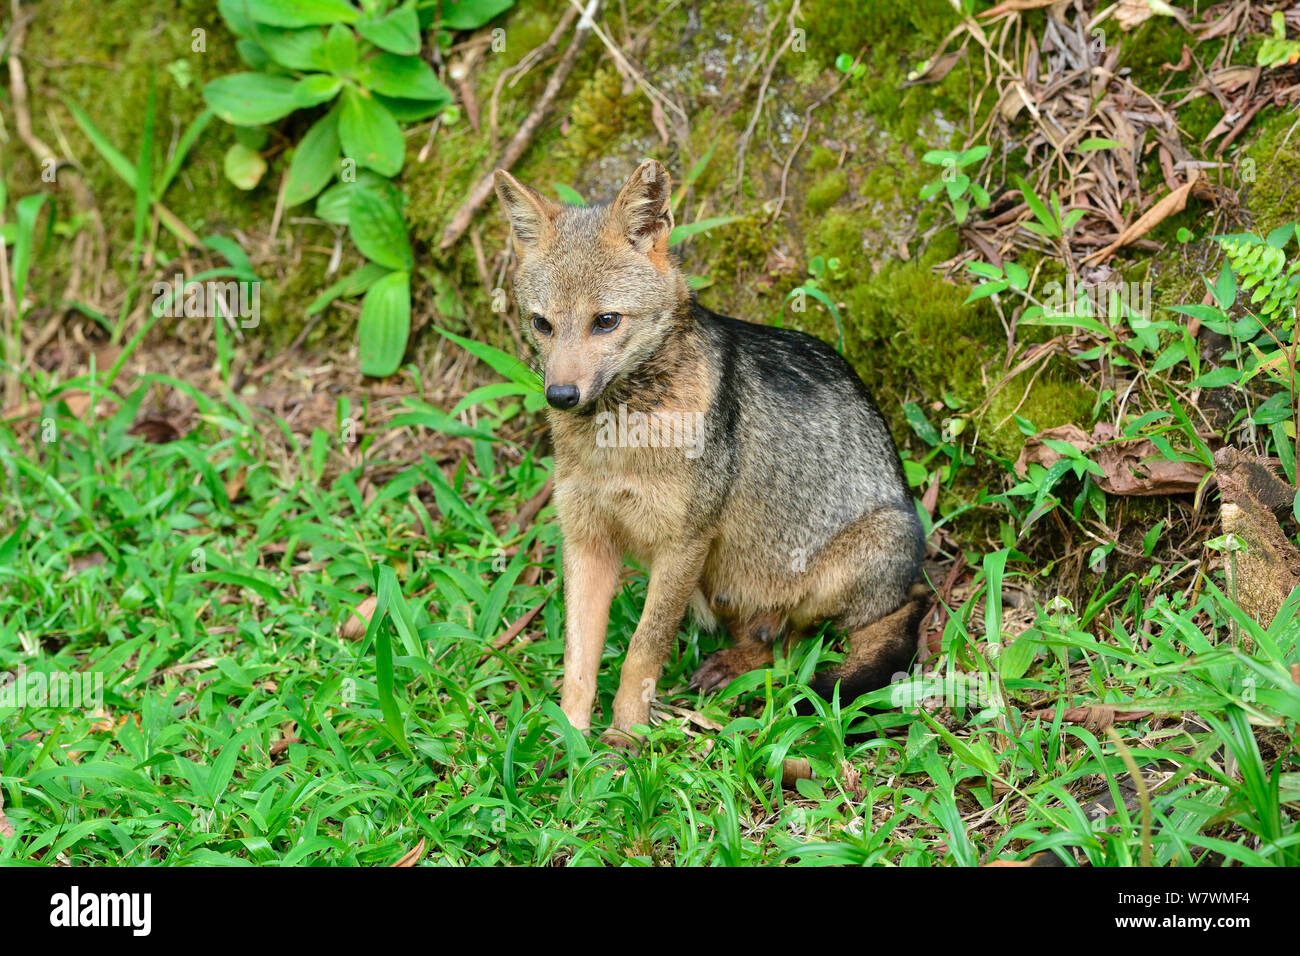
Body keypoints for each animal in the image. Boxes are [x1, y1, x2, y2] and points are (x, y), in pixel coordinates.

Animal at [493, 159, 927, 744]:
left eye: (606, 321)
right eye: (543, 324)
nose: (561, 395)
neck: (619, 440)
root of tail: (911, 587)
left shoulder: (685, 543)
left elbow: (642, 650)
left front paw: (625, 739)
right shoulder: (587, 541)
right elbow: (578, 660)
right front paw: (570, 740)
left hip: (844, 562)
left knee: (792, 641)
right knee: (769, 636)